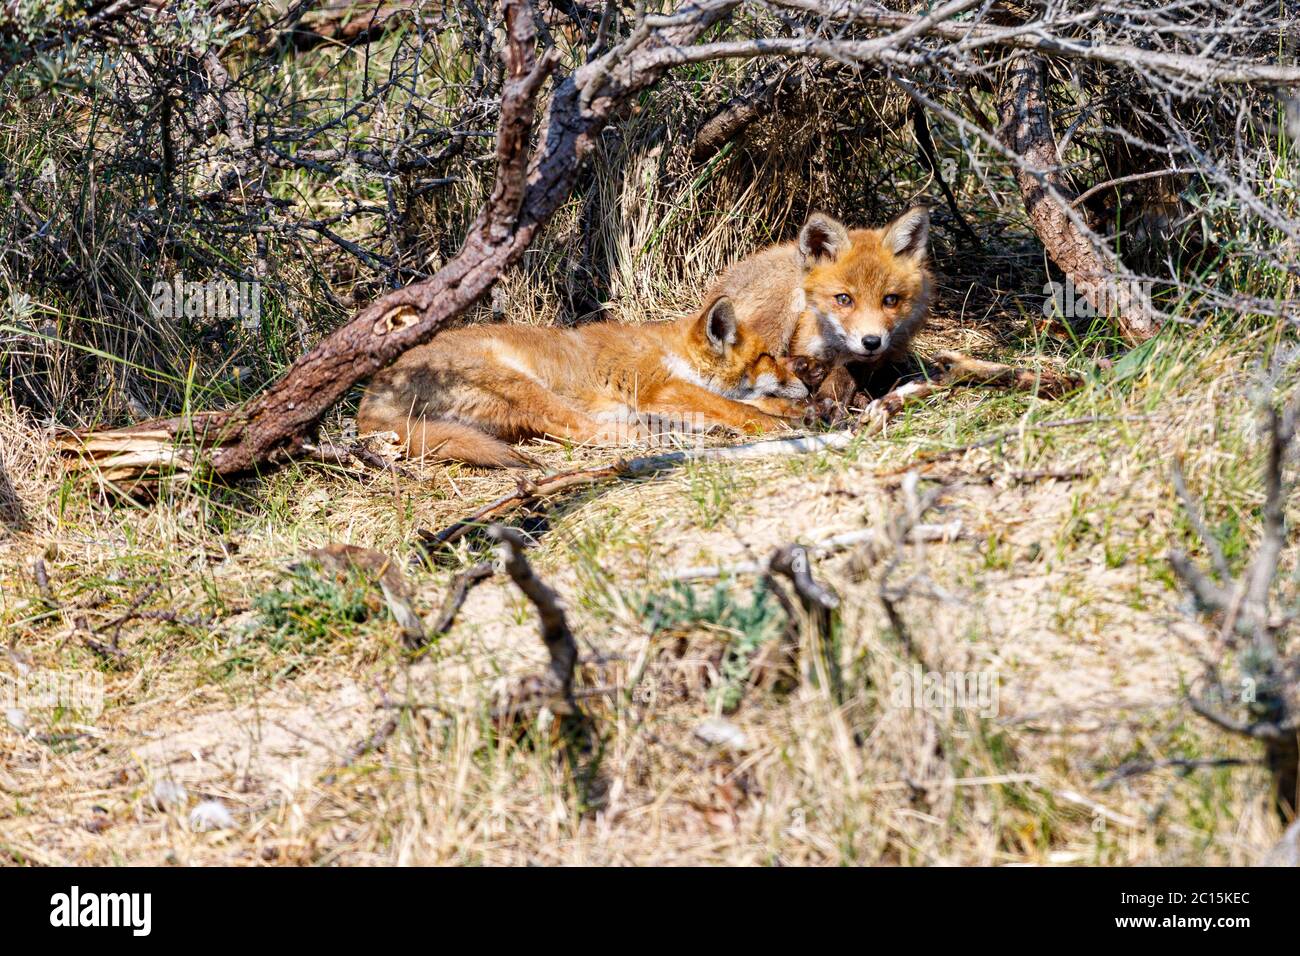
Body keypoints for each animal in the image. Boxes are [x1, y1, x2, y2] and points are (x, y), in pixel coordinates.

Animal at [356, 296, 816, 469]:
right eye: (767, 357)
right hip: (522, 383)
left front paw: (797, 410)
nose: (809, 382)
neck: (669, 350)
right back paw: (657, 438)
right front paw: (780, 423)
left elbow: (750, 404)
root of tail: (366, 404)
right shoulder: (657, 387)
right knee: (581, 430)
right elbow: (737, 406)